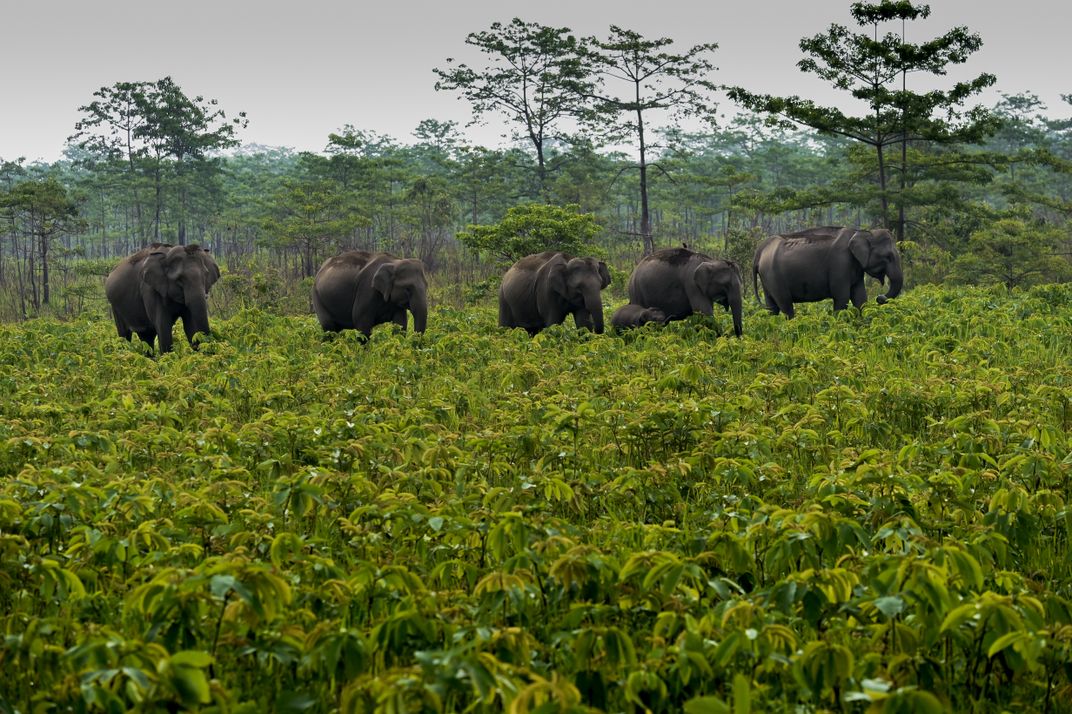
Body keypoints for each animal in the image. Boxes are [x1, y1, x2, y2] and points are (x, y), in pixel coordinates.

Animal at [752, 226, 903, 318]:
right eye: (888, 257)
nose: (879, 297)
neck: (861, 232)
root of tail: (760, 251)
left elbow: (860, 298)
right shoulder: (840, 265)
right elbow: (842, 297)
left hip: (767, 279)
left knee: (772, 307)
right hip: (774, 277)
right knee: (785, 305)